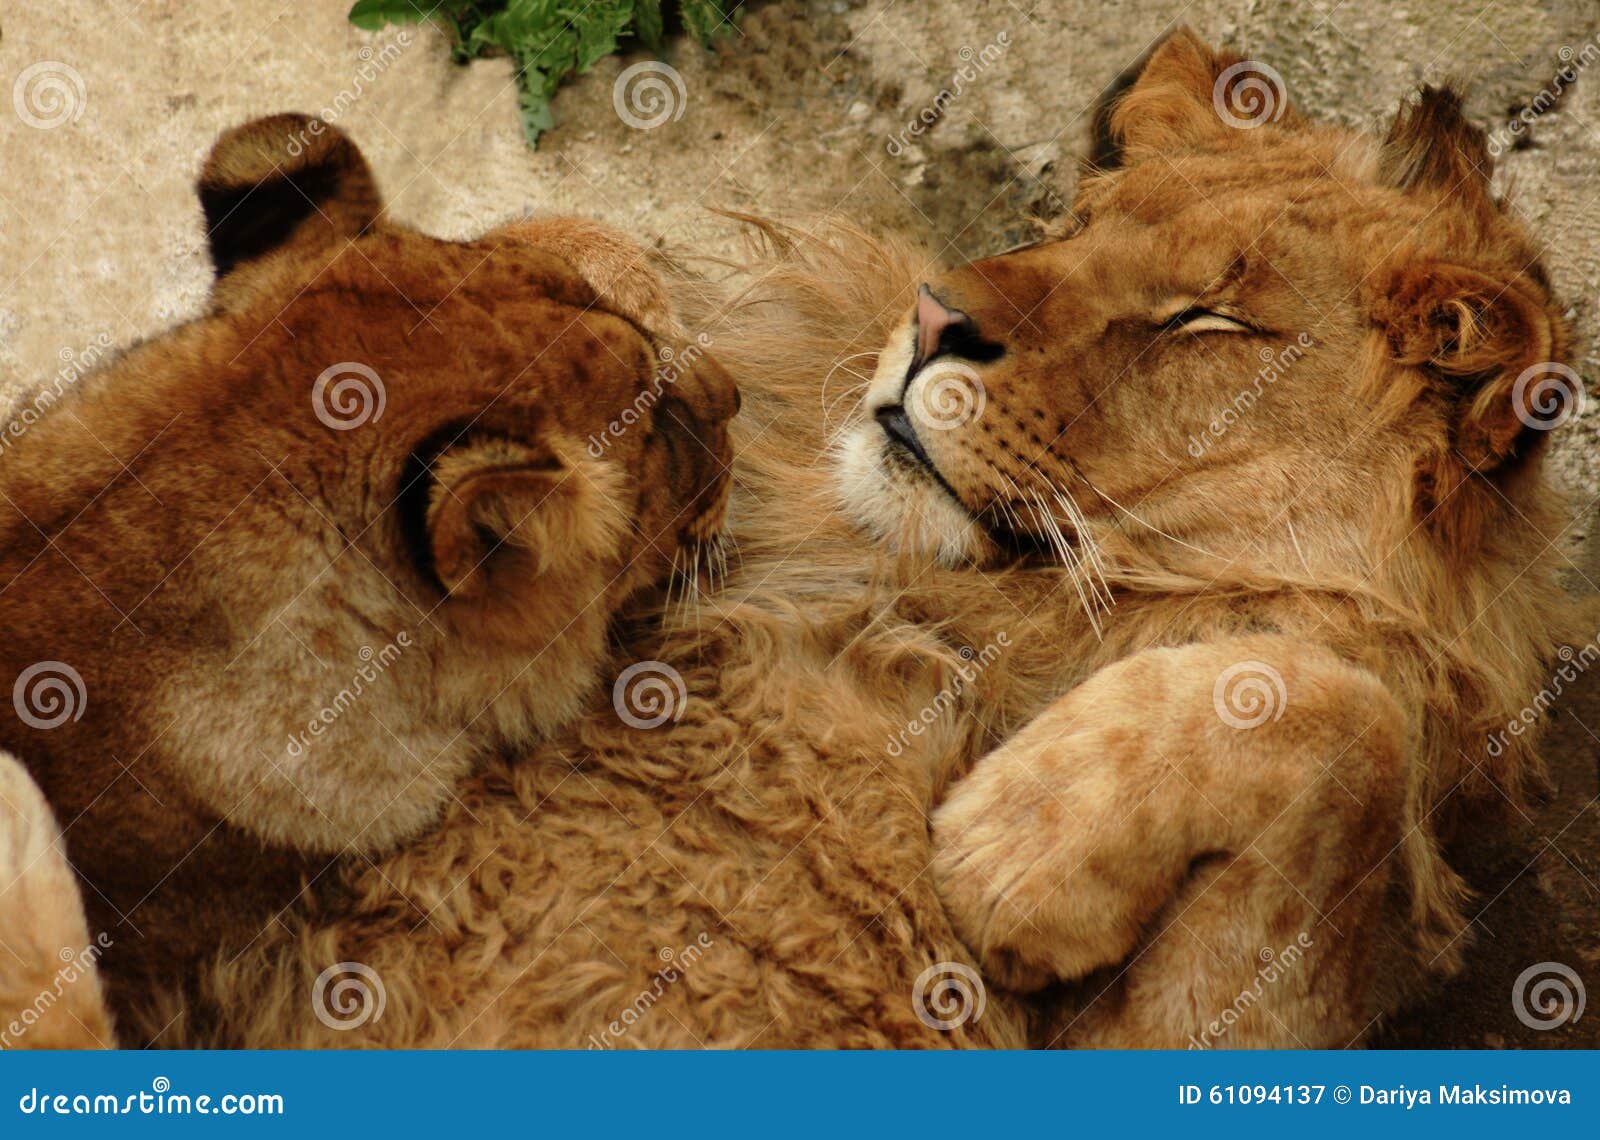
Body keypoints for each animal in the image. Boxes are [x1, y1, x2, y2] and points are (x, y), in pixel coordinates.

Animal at [132, 29, 1575, 1049]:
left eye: (1206, 323)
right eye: (1078, 225)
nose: (933, 316)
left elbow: (1346, 723)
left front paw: (1016, 852)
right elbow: (581, 250)